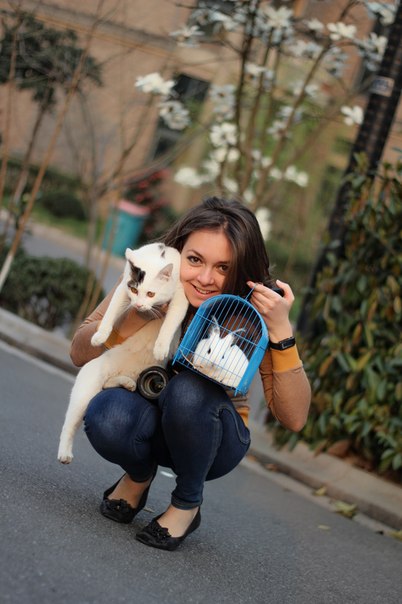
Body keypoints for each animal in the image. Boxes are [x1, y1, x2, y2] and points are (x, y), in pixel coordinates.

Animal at [57, 242, 188, 464]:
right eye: (134, 289)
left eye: (151, 294)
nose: (138, 305)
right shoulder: (122, 289)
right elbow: (110, 313)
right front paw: (100, 336)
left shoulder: (181, 297)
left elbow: (170, 323)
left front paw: (161, 346)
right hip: (85, 391)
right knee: (69, 423)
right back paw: (64, 453)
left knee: (109, 385)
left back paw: (126, 382)